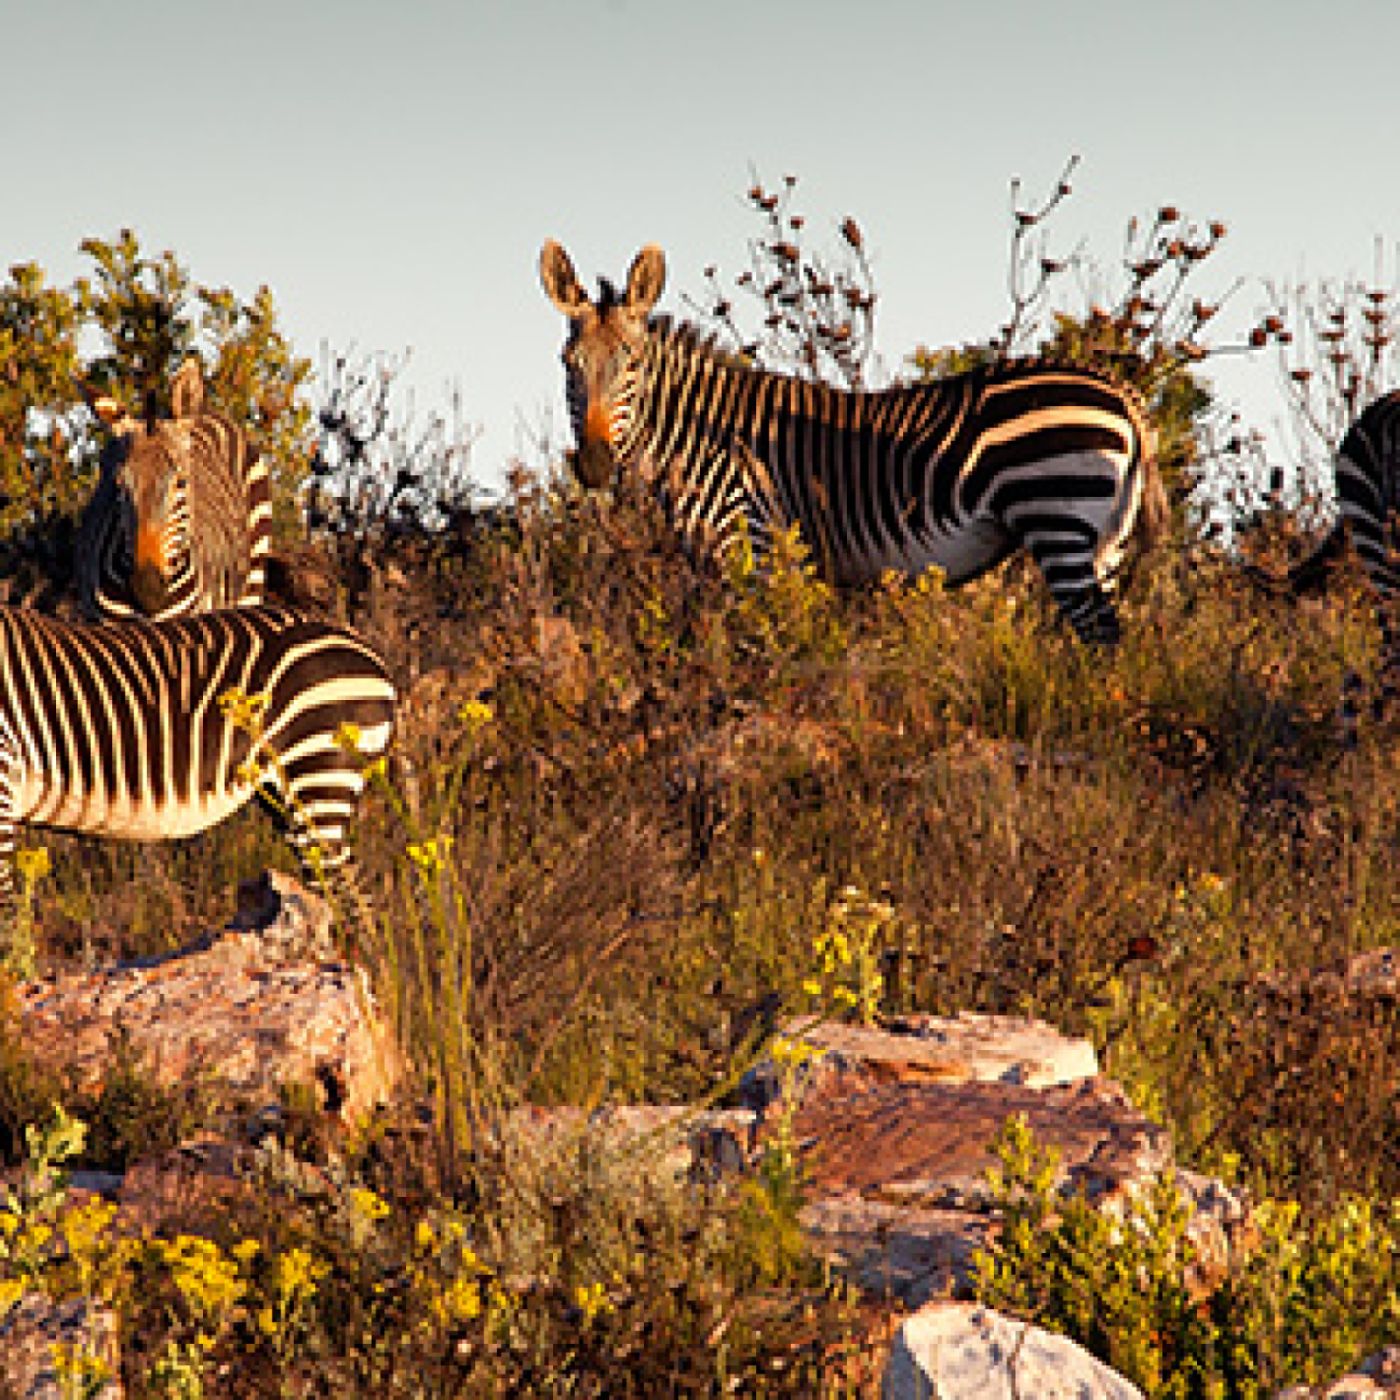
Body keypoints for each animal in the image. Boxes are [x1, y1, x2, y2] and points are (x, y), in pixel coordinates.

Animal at [540, 240, 1164, 644]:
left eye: (632, 365)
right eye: (568, 363)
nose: (593, 464)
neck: (704, 438)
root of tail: (1120, 390)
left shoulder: (754, 548)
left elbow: (761, 657)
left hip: (1058, 515)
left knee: (1100, 633)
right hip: (1102, 537)